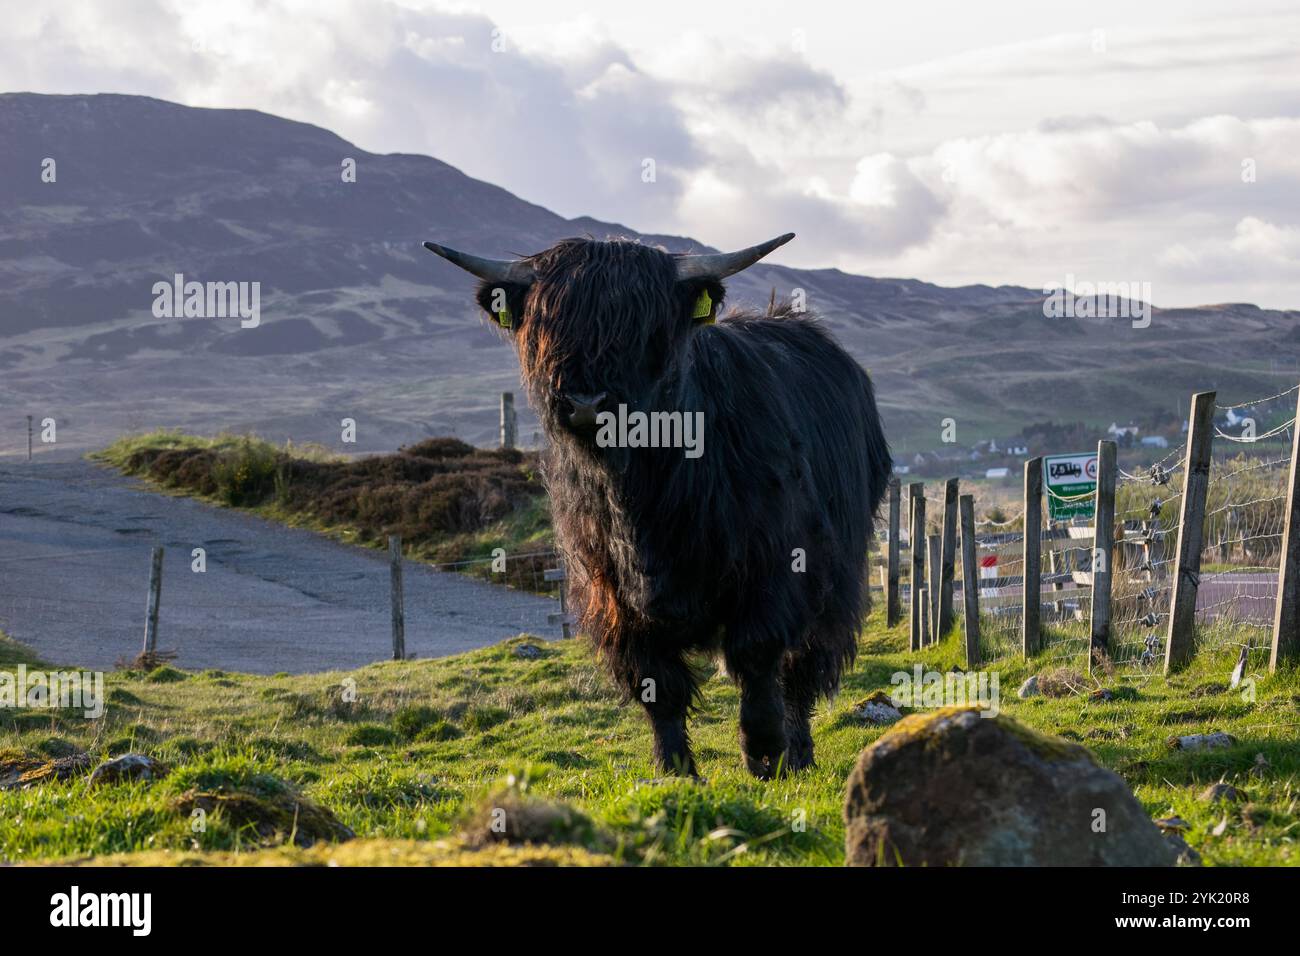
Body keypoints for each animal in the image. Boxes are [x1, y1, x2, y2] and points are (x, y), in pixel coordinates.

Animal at [424, 233, 891, 778]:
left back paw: (797, 753)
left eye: (640, 326)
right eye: (548, 322)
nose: (585, 401)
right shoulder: (610, 591)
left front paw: (765, 754)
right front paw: (675, 771)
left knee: (803, 668)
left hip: (838, 575)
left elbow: (757, 661)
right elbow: (656, 683)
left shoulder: (777, 569)